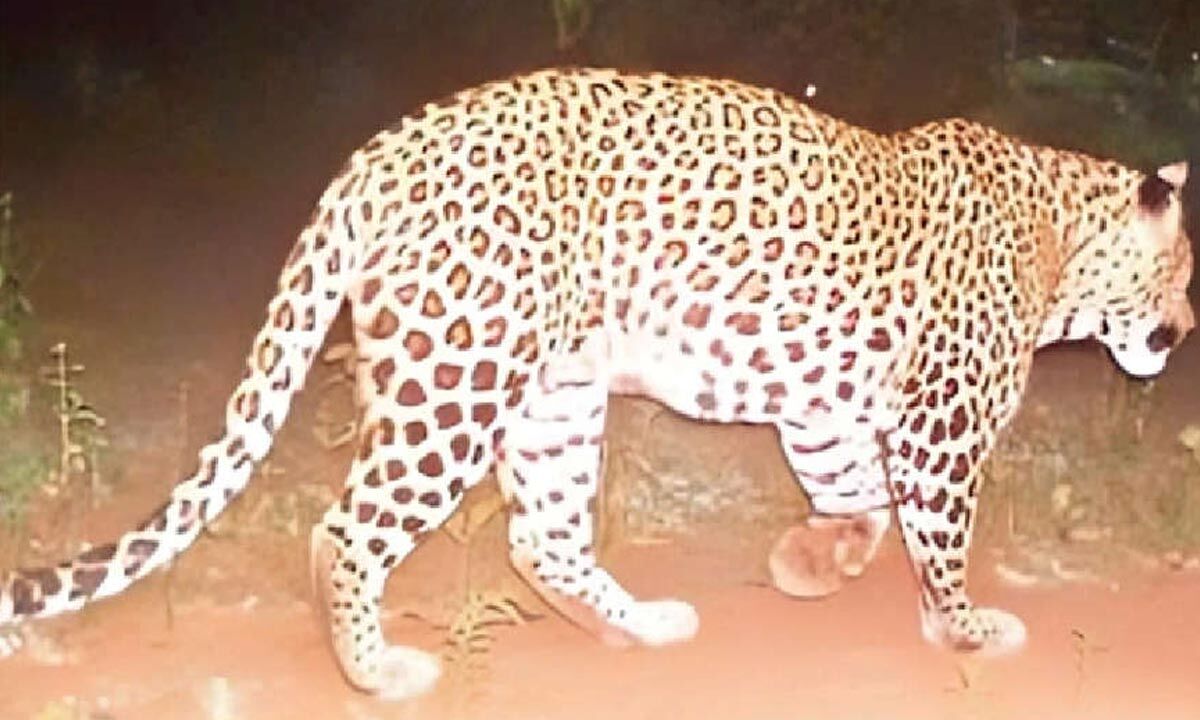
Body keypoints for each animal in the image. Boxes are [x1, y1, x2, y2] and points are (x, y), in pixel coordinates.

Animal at [0, 68, 1193, 700]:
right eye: (1185, 271)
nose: (1184, 333)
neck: (1059, 241)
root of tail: (377, 156)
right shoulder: (942, 423)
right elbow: (937, 537)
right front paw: (965, 630)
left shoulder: (822, 405)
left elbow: (852, 498)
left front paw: (810, 566)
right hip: (460, 377)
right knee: (348, 530)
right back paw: (377, 671)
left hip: (554, 396)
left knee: (542, 538)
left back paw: (636, 628)